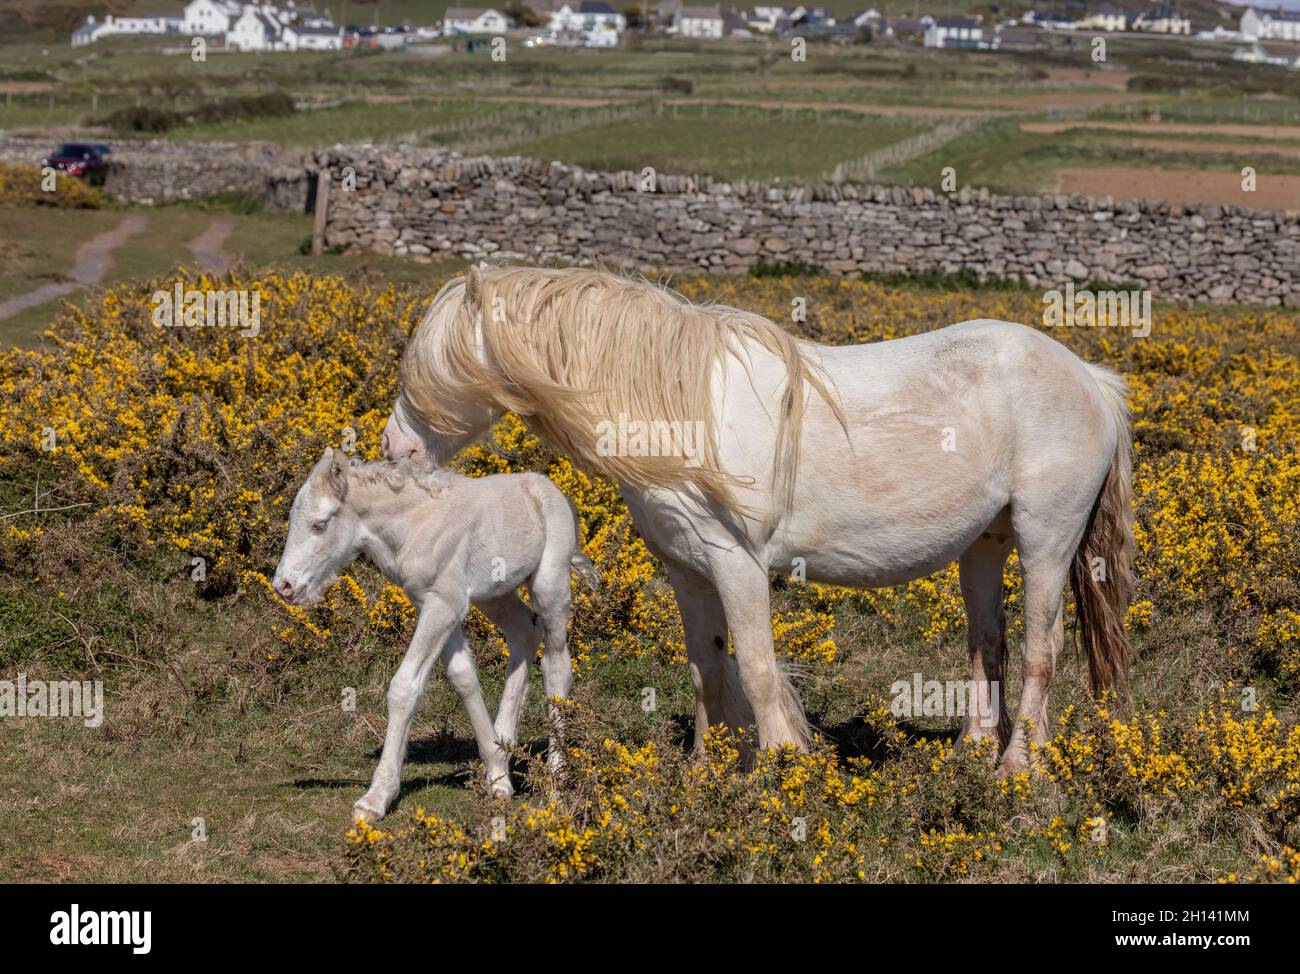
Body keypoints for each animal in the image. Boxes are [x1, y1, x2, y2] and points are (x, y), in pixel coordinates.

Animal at [272, 448, 600, 821]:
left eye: (320, 524)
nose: (284, 586)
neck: (414, 525)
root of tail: (552, 489)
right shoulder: (436, 604)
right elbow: (463, 676)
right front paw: (498, 775)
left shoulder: (443, 604)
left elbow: (404, 687)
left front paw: (375, 798)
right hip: (494, 595)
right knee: (524, 632)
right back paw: (505, 742)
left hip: (550, 584)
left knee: (557, 666)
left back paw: (557, 778)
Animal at [381, 263, 1135, 774]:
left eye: (434, 361)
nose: (395, 452)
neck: (675, 407)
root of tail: (1090, 377)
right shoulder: (687, 571)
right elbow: (708, 667)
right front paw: (702, 772)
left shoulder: (736, 563)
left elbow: (759, 668)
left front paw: (780, 768)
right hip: (983, 546)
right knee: (989, 644)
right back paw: (975, 755)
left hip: (1045, 543)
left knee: (1040, 649)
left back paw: (1017, 767)